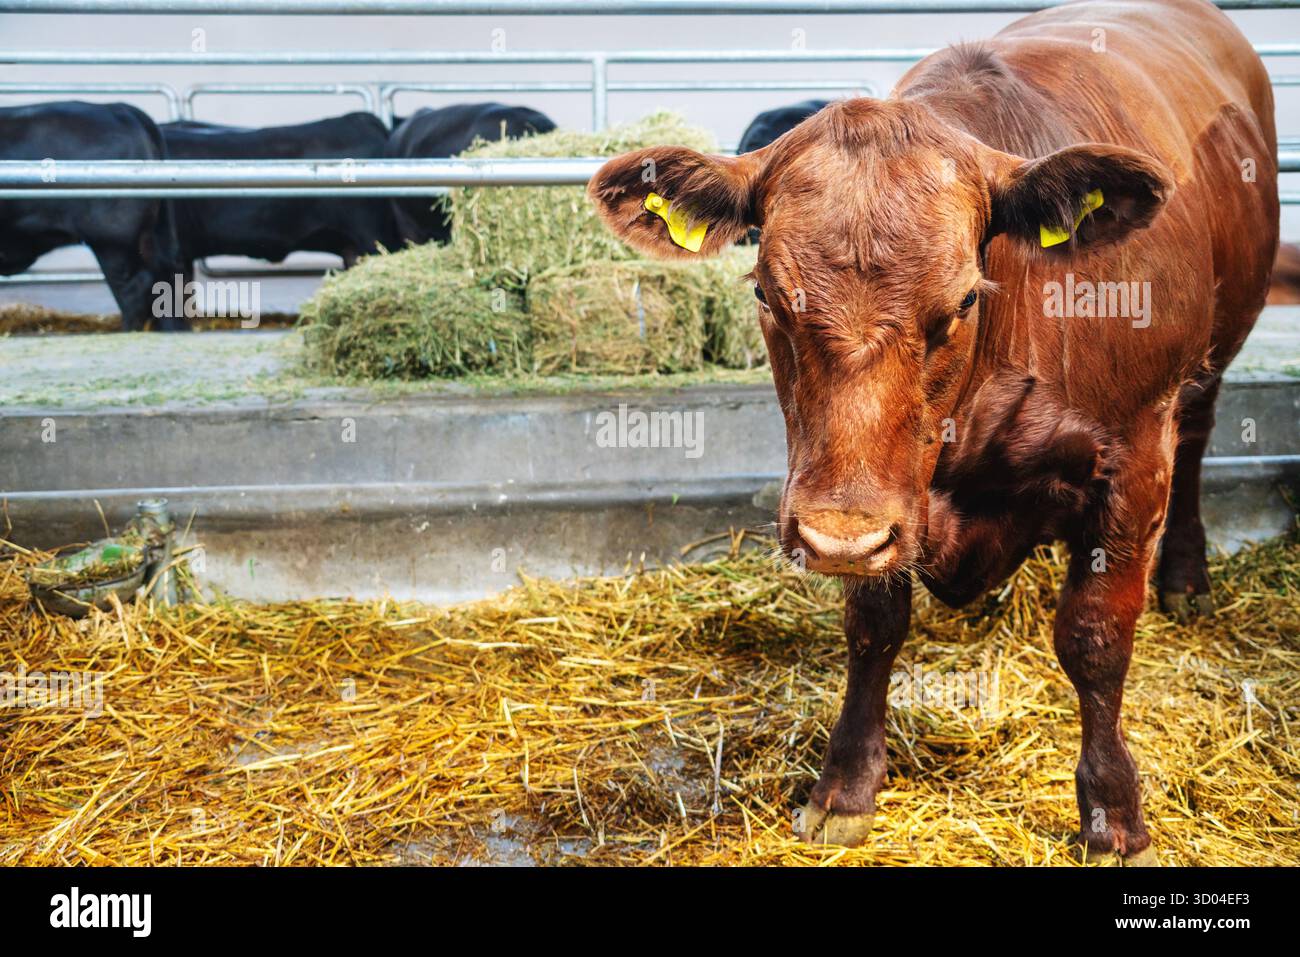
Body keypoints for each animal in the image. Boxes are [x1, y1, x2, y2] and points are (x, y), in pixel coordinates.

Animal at [587, 0, 1277, 862]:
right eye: (768, 295)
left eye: (962, 300)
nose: (835, 536)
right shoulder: (877, 500)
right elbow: (873, 625)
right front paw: (844, 785)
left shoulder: (1133, 457)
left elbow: (1094, 637)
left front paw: (1114, 814)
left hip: (1211, 365)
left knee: (1199, 441)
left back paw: (1185, 574)